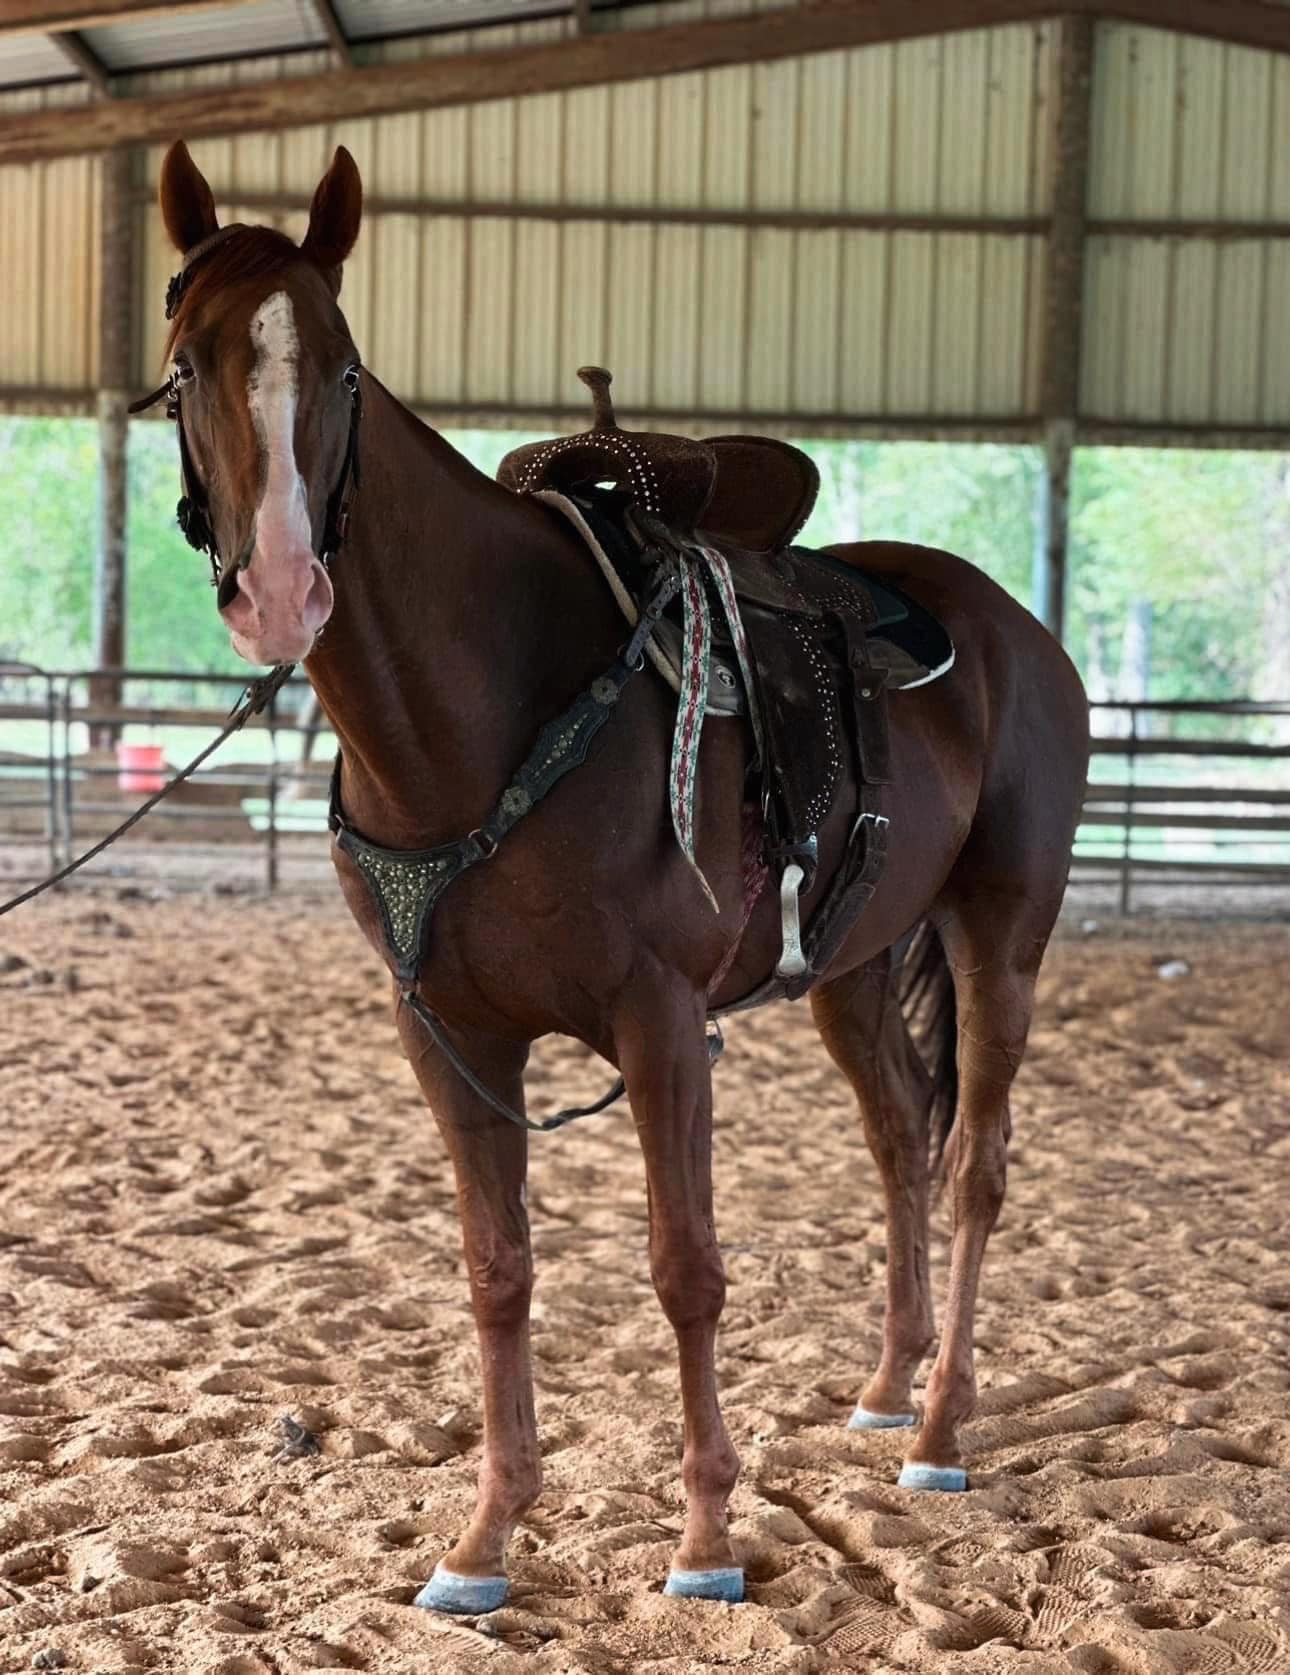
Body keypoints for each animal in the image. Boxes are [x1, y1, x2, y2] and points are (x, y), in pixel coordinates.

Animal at [146, 138, 1090, 1614]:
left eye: (346, 368)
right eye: (186, 365)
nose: (287, 588)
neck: (484, 709)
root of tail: (1013, 632)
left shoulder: (660, 1023)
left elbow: (683, 1266)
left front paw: (703, 1541)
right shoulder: (447, 1034)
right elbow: (496, 1268)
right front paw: (482, 1541)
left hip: (1002, 933)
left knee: (973, 1165)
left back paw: (938, 1428)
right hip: (855, 960)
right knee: (897, 1138)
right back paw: (886, 1386)